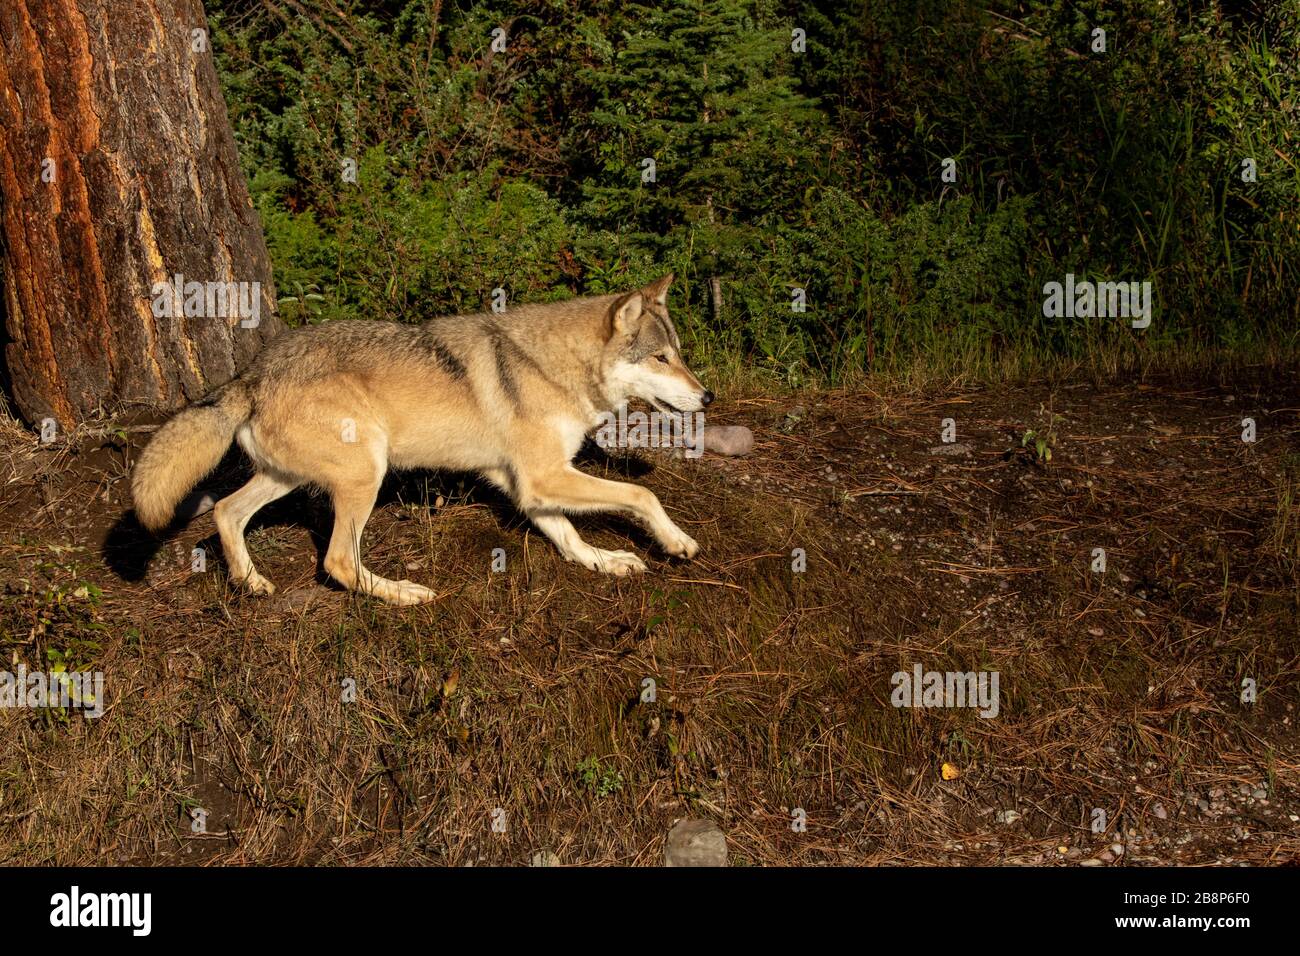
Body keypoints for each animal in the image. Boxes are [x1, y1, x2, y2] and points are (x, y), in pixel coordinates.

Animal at [131, 274, 713, 605]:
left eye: (679, 354)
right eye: (661, 358)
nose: (707, 397)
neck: (552, 367)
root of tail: (251, 375)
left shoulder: (526, 486)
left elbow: (569, 536)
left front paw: (605, 561)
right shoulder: (545, 477)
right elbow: (642, 494)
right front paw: (675, 541)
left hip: (288, 478)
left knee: (225, 511)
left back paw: (251, 584)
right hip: (365, 474)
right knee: (338, 562)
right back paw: (404, 595)